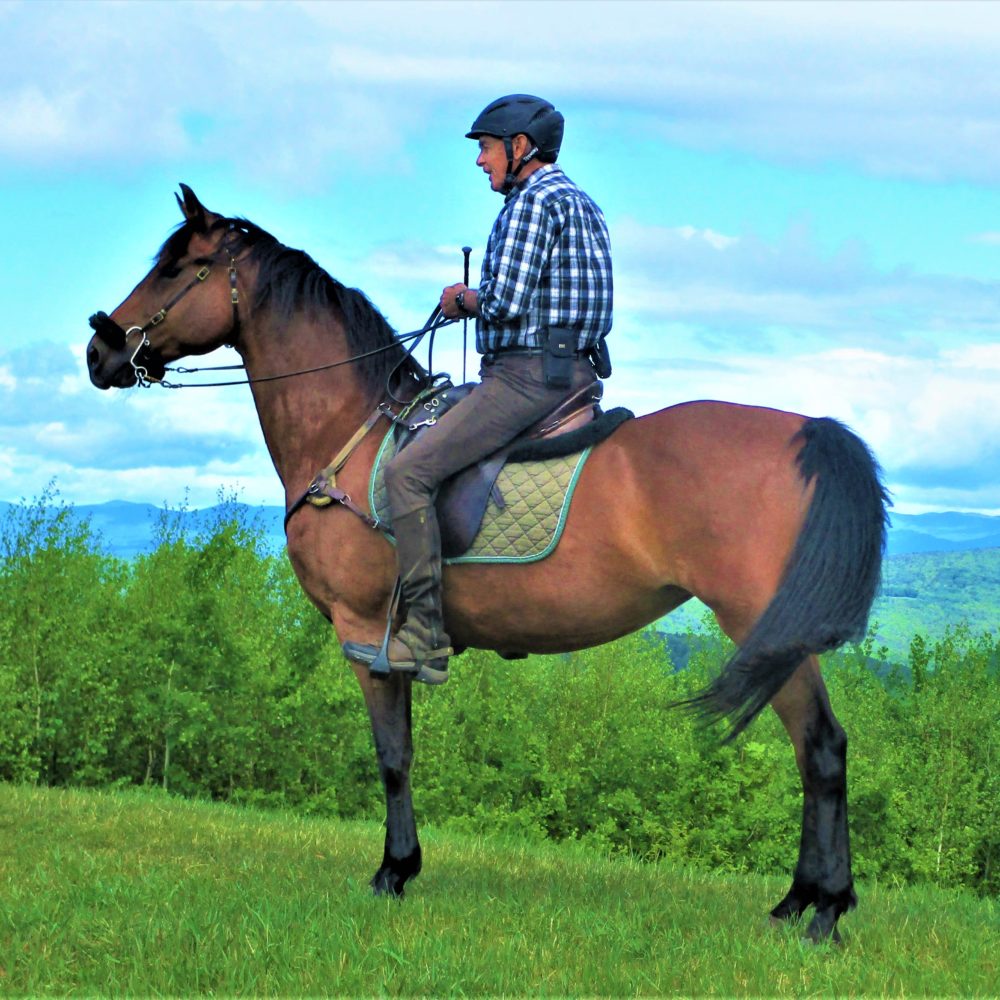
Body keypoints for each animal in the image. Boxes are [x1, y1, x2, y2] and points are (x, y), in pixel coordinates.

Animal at [86, 185, 888, 943]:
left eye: (177, 268)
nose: (98, 353)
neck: (348, 432)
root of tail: (806, 433)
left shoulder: (366, 634)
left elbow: (393, 756)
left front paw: (393, 871)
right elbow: (402, 750)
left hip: (763, 627)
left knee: (819, 750)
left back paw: (821, 912)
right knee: (824, 750)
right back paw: (803, 901)